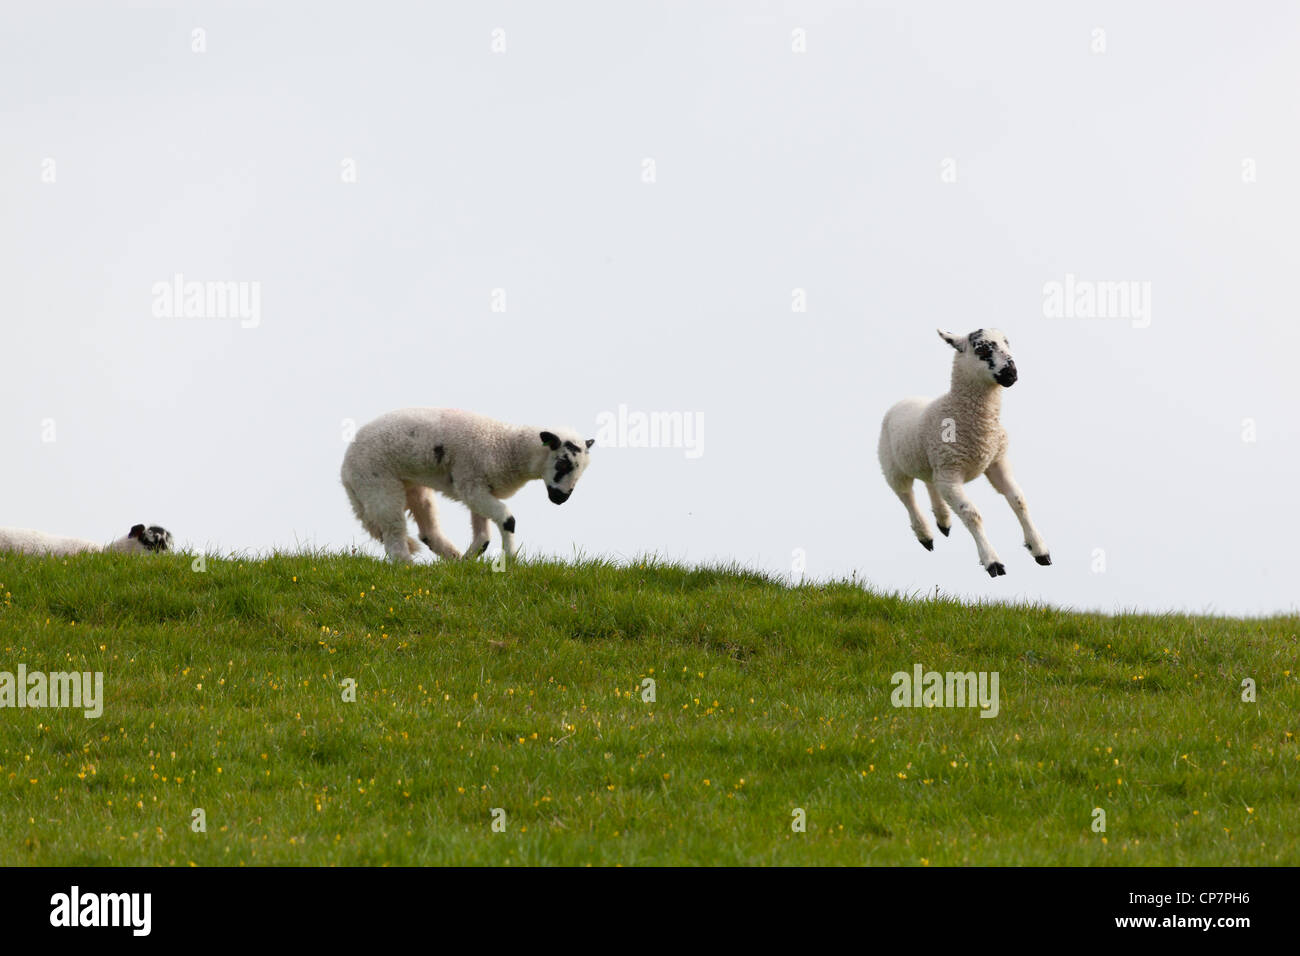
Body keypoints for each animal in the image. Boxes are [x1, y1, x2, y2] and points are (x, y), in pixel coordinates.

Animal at [341, 407, 594, 564]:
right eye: (563, 464)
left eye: (581, 471)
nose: (561, 498)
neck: (507, 447)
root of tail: (345, 471)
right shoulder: (470, 484)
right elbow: (507, 519)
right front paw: (511, 559)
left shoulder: (479, 487)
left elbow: (483, 537)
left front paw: (469, 561)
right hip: (377, 483)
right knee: (393, 532)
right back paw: (406, 565)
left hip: (413, 486)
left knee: (427, 530)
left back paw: (453, 558)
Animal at [877, 329, 1050, 577]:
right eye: (982, 348)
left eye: (1007, 344)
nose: (1012, 373)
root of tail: (906, 398)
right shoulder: (951, 473)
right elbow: (972, 514)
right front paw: (992, 561)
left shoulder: (996, 461)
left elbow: (1019, 500)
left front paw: (1039, 549)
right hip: (893, 467)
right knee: (906, 497)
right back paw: (925, 535)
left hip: (933, 463)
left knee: (930, 484)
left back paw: (943, 521)